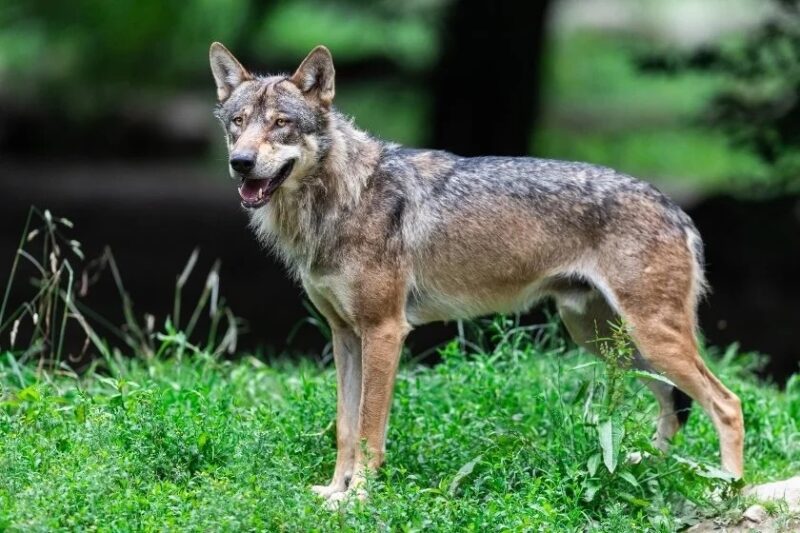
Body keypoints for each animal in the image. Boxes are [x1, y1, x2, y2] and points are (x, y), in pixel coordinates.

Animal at [209, 42, 744, 501]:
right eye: (238, 122)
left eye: (281, 123)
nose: (240, 162)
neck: (342, 198)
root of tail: (676, 209)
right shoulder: (344, 335)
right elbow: (345, 426)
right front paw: (333, 492)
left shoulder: (384, 332)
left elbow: (369, 429)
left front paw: (358, 499)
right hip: (609, 342)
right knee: (674, 407)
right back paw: (648, 472)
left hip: (648, 339)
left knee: (727, 404)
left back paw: (728, 490)